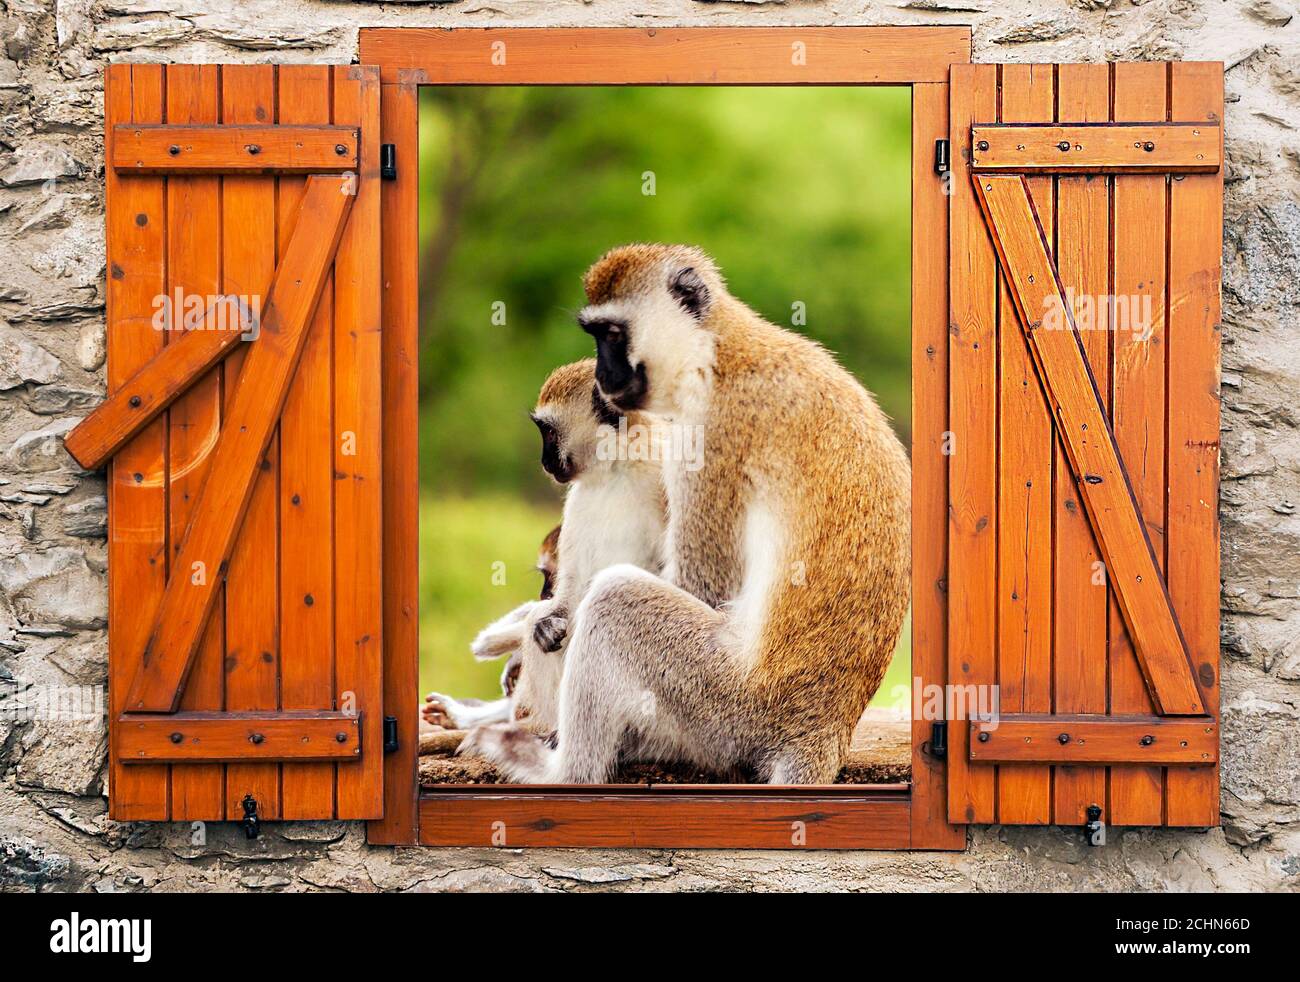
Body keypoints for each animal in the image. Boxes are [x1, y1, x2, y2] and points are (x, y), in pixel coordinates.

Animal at [425, 360, 667, 736]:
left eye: (549, 433)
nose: (544, 461)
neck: (616, 469)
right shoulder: (578, 498)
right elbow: (569, 586)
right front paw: (544, 625)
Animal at [460, 244, 910, 785]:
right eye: (595, 336)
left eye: (612, 335)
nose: (602, 376)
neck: (718, 351)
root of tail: (824, 726)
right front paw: (534, 625)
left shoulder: (707, 434)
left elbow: (701, 586)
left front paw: (532, 628)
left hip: (725, 701)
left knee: (617, 597)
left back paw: (561, 771)